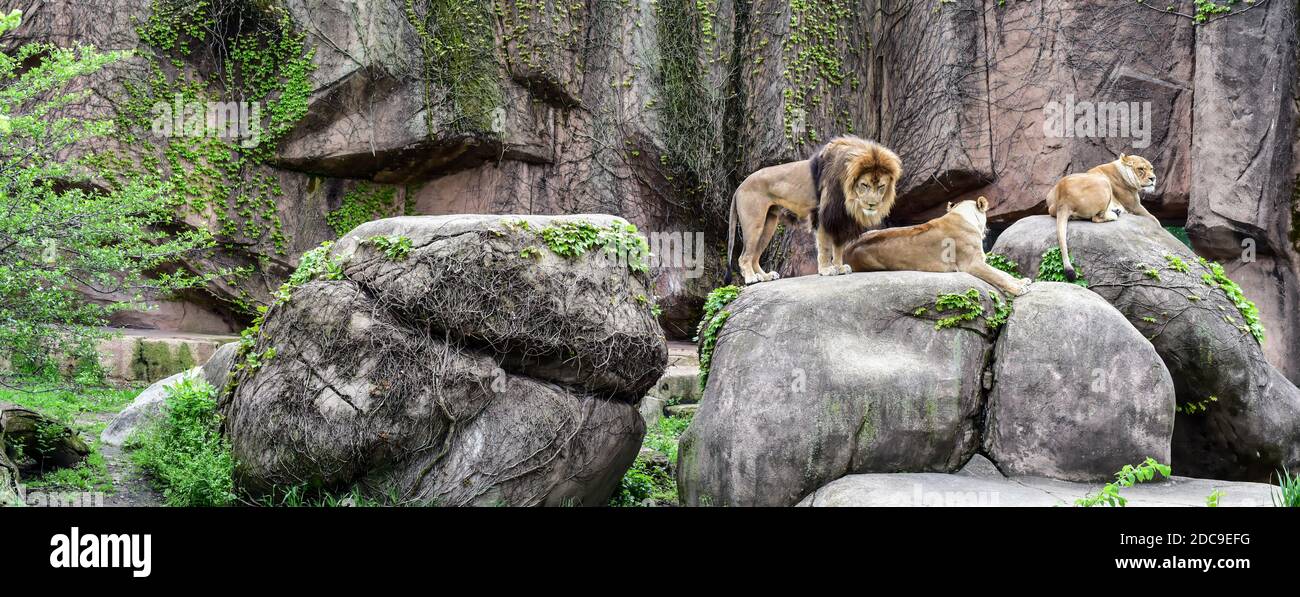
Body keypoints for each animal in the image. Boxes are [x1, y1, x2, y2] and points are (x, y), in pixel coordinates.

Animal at [723, 136, 902, 285]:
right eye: (864, 185)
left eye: (881, 187)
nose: (872, 205)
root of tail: (740, 187)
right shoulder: (824, 216)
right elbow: (825, 247)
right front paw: (826, 270)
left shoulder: (840, 218)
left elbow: (838, 248)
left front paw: (839, 267)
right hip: (755, 223)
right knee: (744, 257)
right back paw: (751, 278)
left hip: (768, 224)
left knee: (754, 256)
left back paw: (765, 276)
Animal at [843, 196, 1032, 296]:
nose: (988, 230)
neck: (962, 214)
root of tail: (846, 250)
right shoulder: (972, 264)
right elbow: (997, 276)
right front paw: (1018, 289)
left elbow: (1002, 273)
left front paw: (1022, 281)